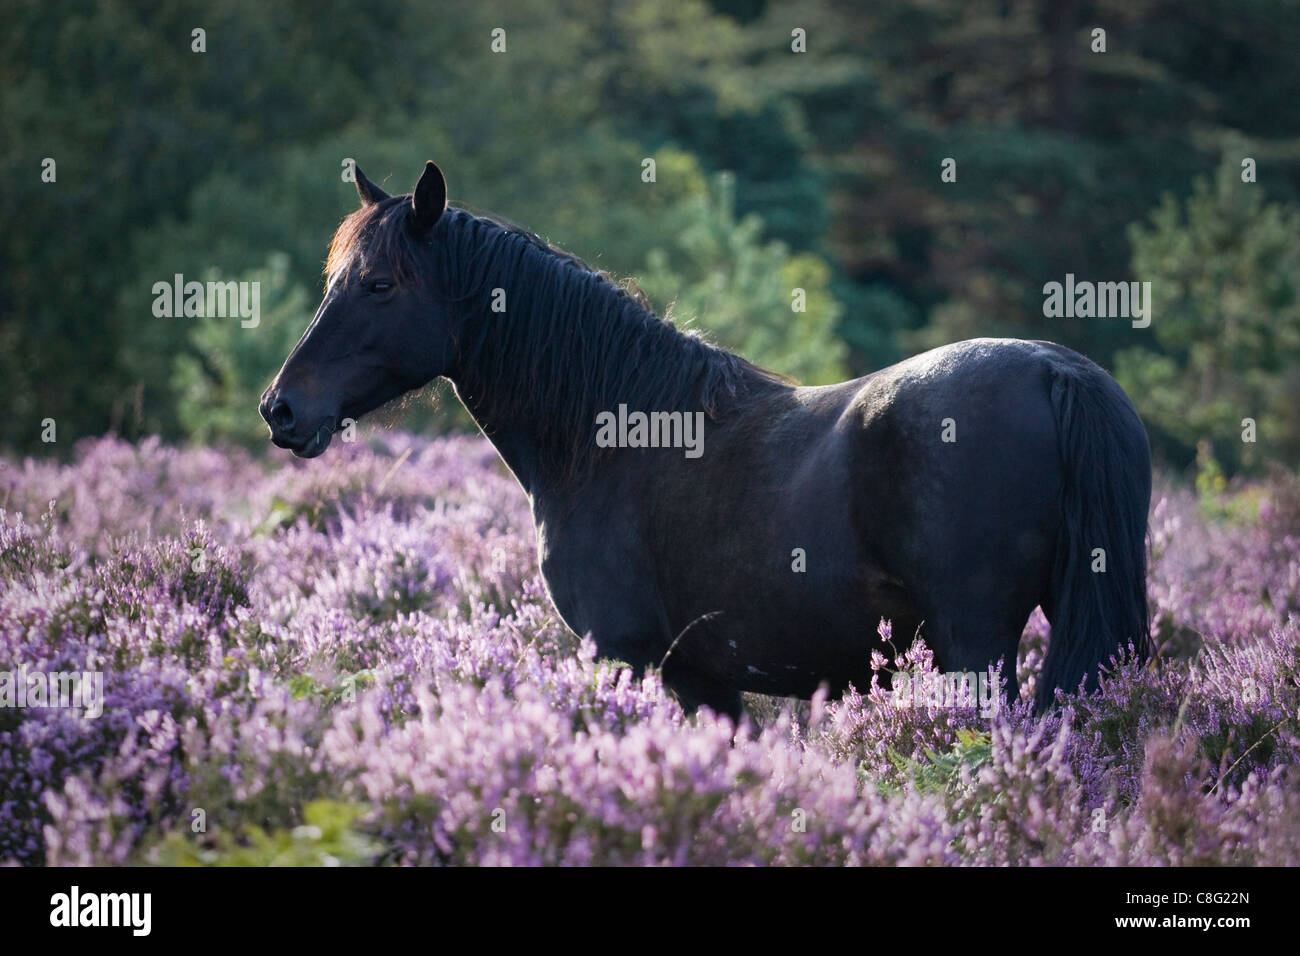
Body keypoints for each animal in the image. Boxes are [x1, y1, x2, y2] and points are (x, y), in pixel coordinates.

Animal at [260, 160, 1153, 720]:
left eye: (379, 284)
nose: (282, 409)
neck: (607, 436)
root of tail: (1056, 369)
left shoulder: (630, 659)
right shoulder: (705, 678)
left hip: (974, 643)